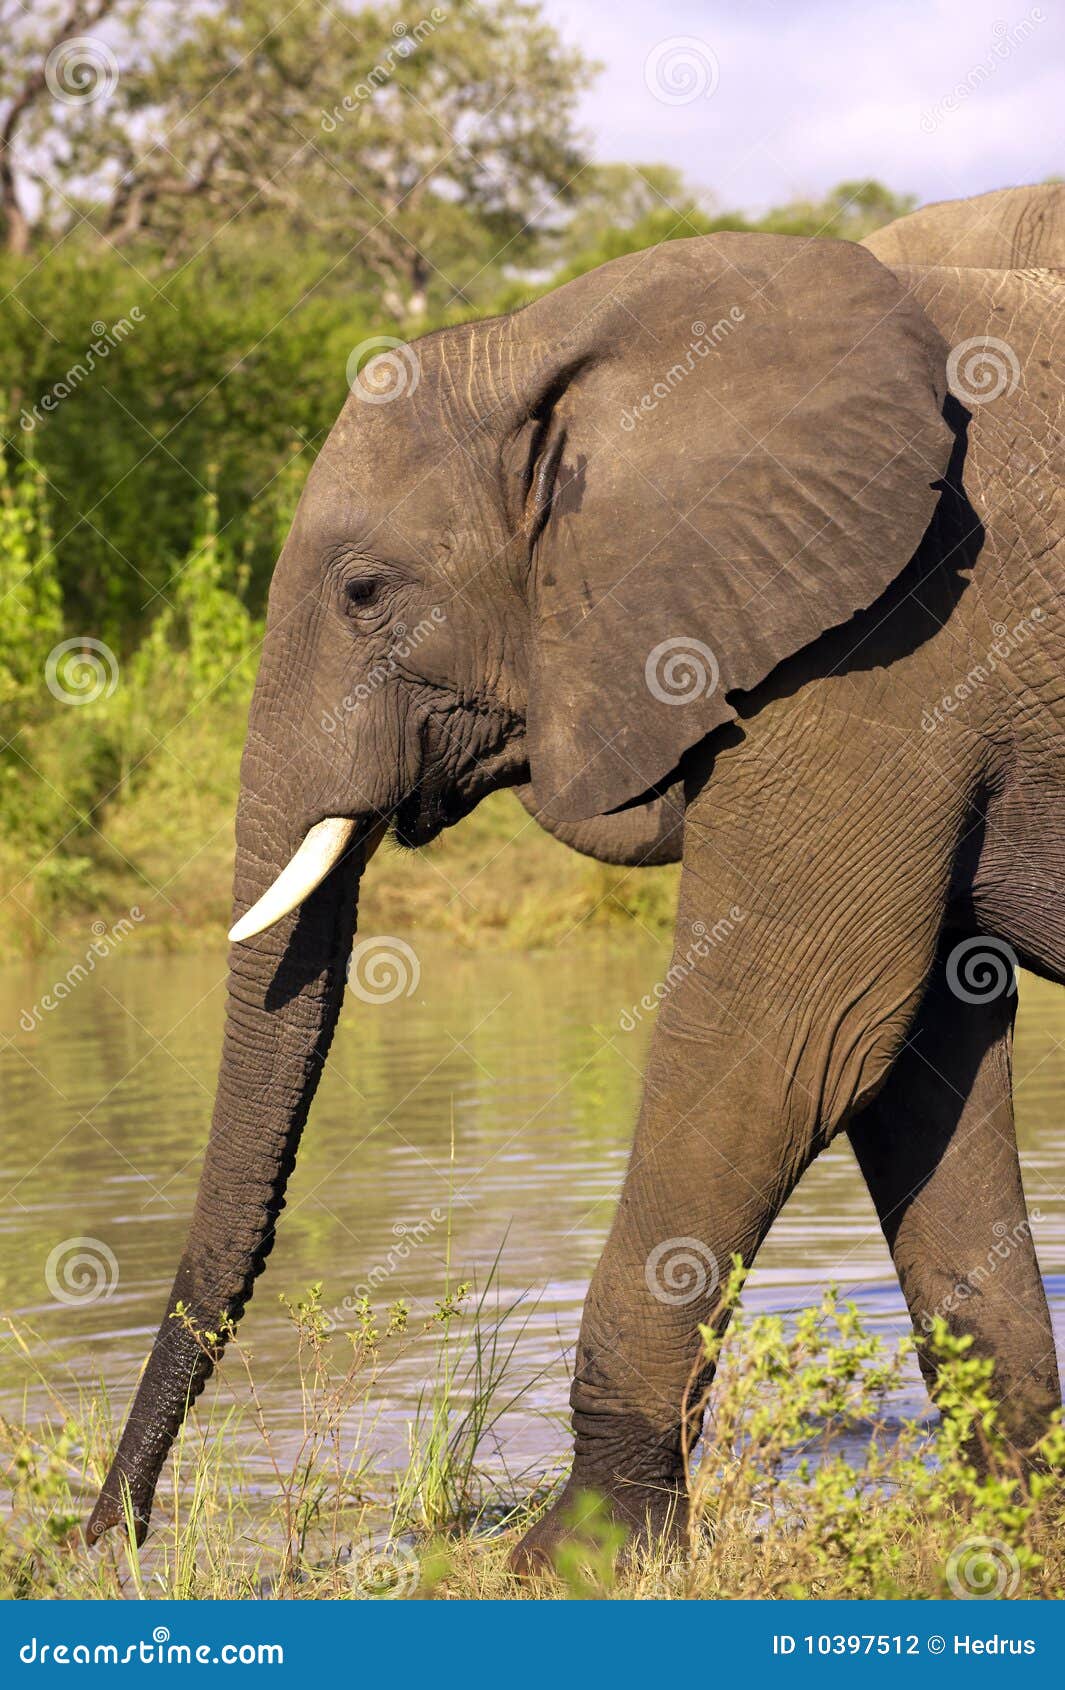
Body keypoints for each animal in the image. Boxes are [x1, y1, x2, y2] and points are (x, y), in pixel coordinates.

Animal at [87, 185, 1065, 1568]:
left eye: (365, 591)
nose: (105, 1535)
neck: (560, 332)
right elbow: (917, 1053)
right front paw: (1015, 1536)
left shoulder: (895, 640)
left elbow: (786, 1031)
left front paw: (569, 1557)